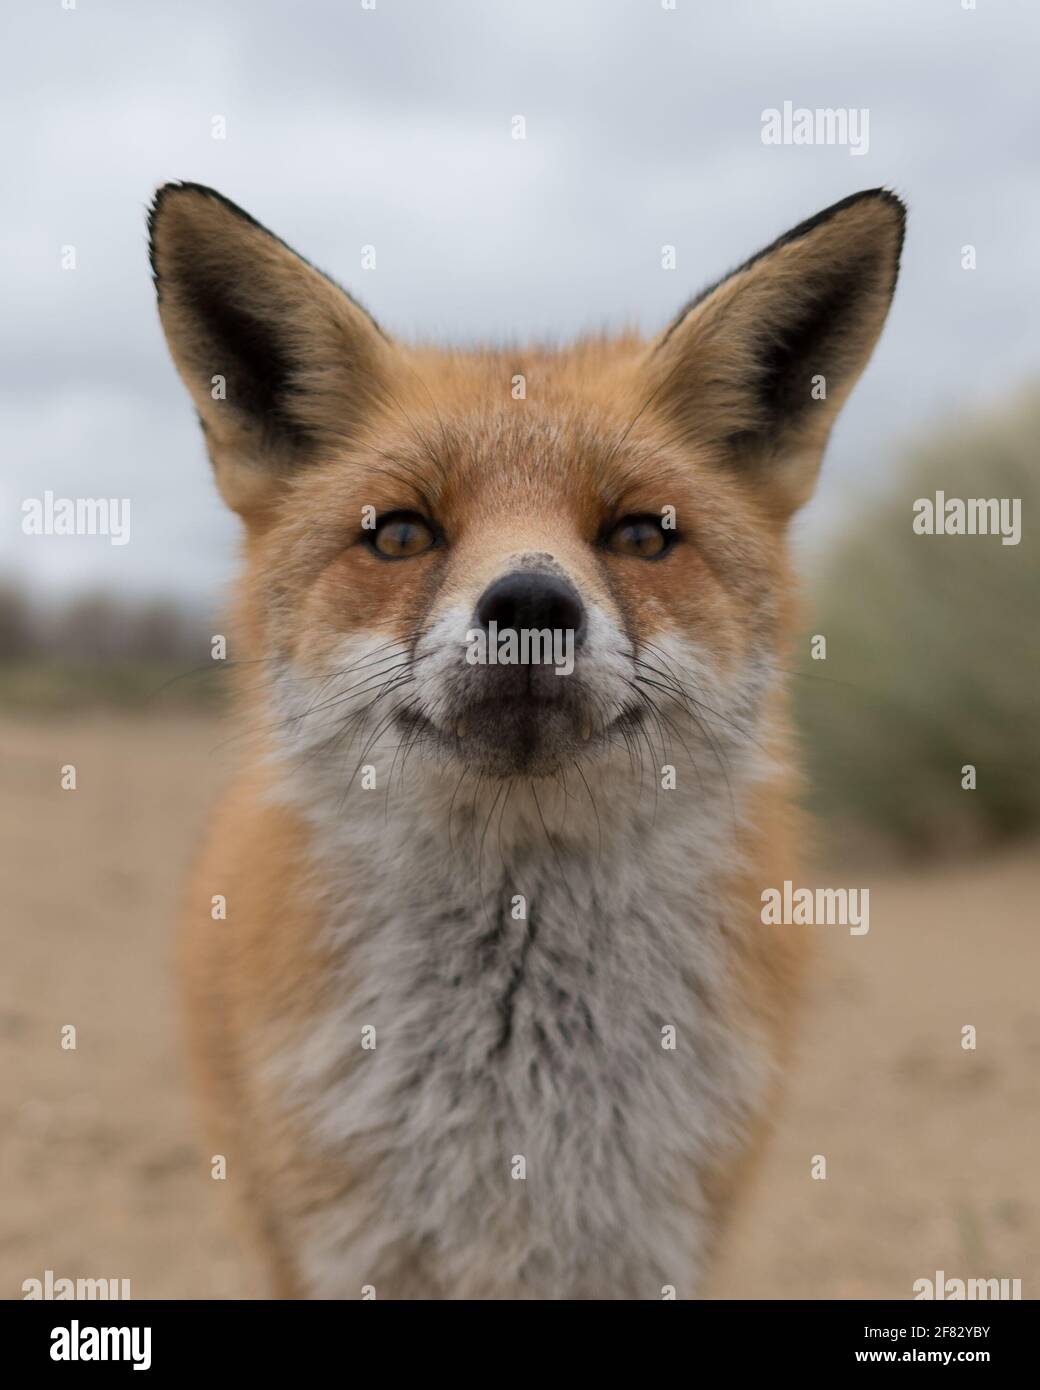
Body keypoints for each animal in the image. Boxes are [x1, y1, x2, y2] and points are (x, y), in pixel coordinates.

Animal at [148, 182, 904, 1299]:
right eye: (400, 533)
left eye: (640, 534)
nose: (532, 605)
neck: (513, 1102)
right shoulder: (343, 1249)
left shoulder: (649, 1249)